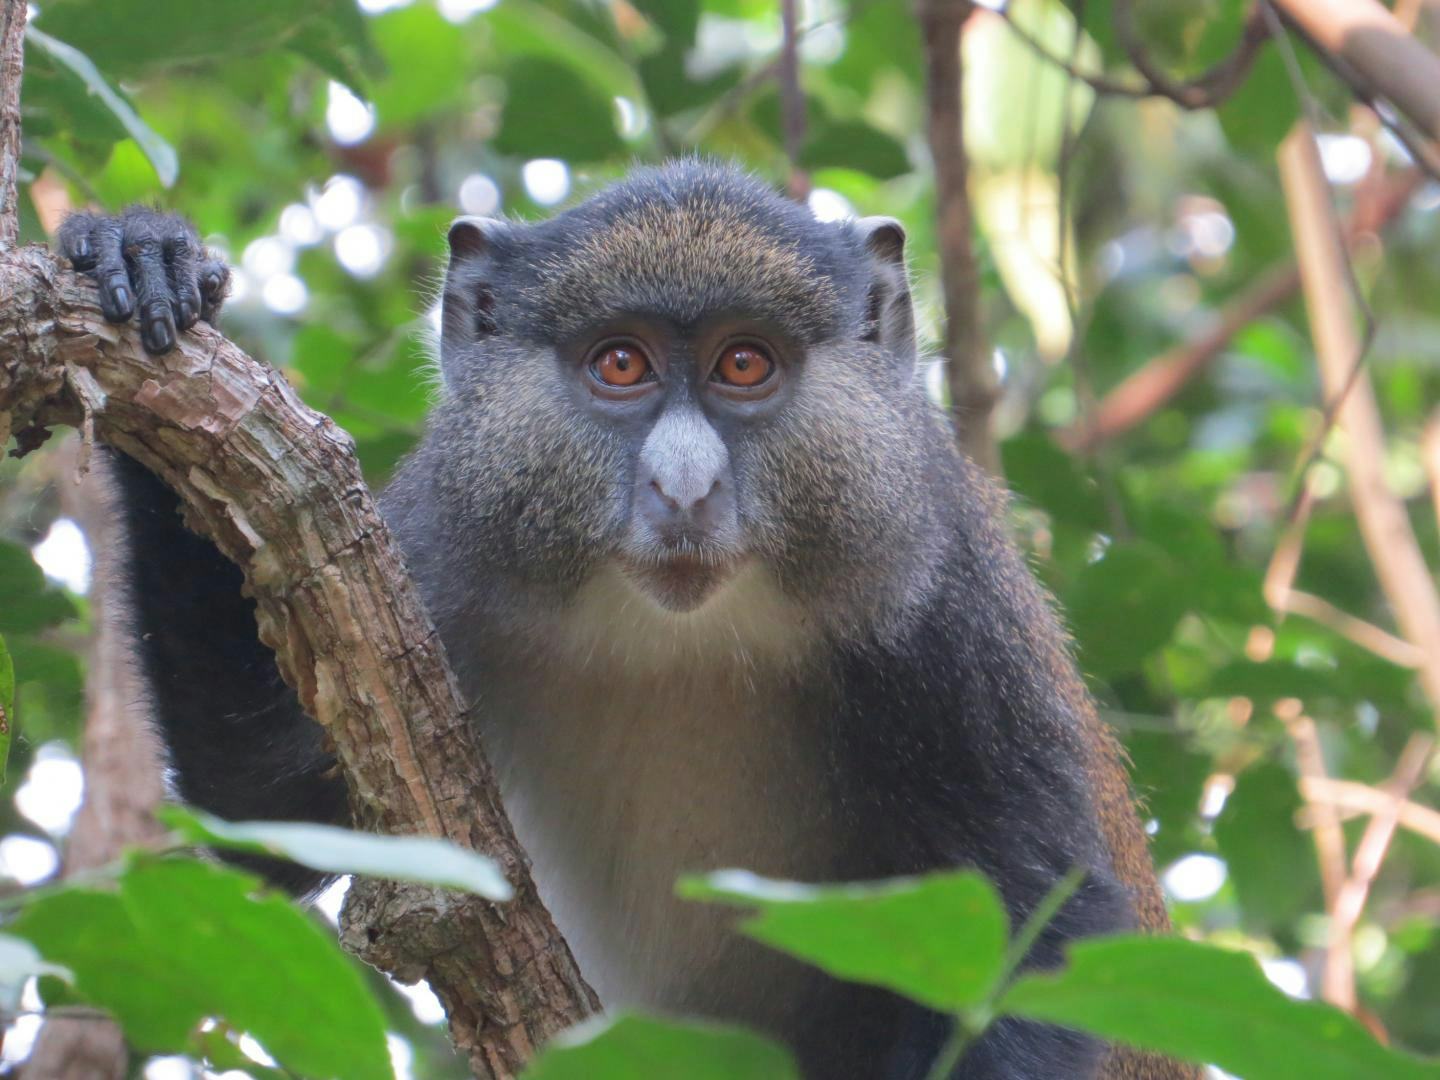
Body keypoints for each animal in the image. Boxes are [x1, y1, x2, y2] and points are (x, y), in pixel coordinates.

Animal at [58, 162, 1189, 1080]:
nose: (683, 486)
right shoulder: (435, 561)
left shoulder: (944, 593)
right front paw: (147, 265)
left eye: (744, 364)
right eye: (621, 364)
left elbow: (1038, 924)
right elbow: (266, 804)